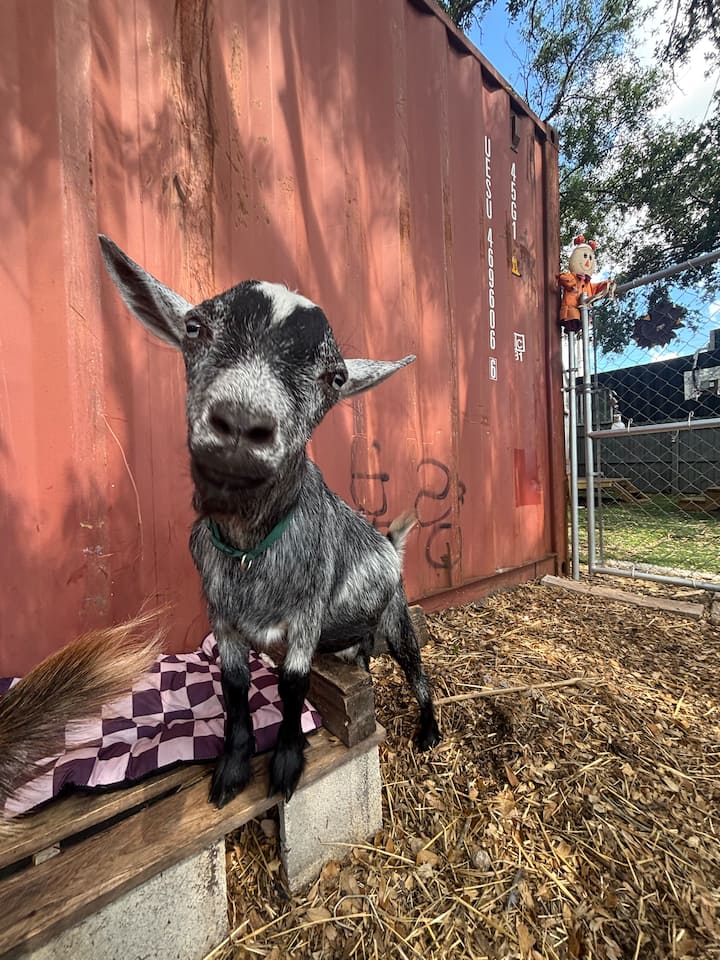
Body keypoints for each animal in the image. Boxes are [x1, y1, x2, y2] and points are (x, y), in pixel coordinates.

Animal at [99, 236, 441, 807]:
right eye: (194, 327)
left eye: (337, 377)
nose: (241, 423)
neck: (250, 551)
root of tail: (390, 544)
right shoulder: (222, 619)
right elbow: (236, 690)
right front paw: (232, 769)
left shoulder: (306, 617)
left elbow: (293, 686)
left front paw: (284, 766)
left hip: (397, 617)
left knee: (418, 672)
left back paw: (430, 732)